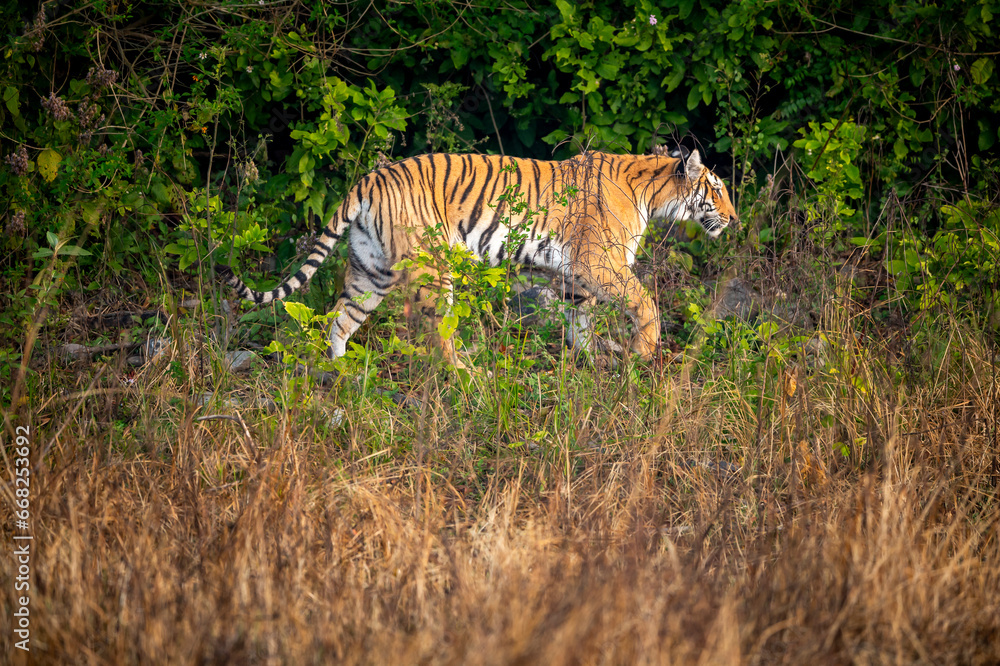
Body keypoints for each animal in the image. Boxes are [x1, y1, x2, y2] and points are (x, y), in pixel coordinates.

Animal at [217, 149, 738, 370]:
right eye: (716, 190)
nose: (734, 218)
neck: (653, 191)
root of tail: (369, 179)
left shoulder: (575, 276)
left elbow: (580, 321)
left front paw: (592, 362)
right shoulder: (599, 265)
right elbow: (645, 304)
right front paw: (642, 353)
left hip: (370, 271)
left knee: (340, 319)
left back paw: (340, 372)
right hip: (432, 269)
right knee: (435, 333)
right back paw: (467, 375)